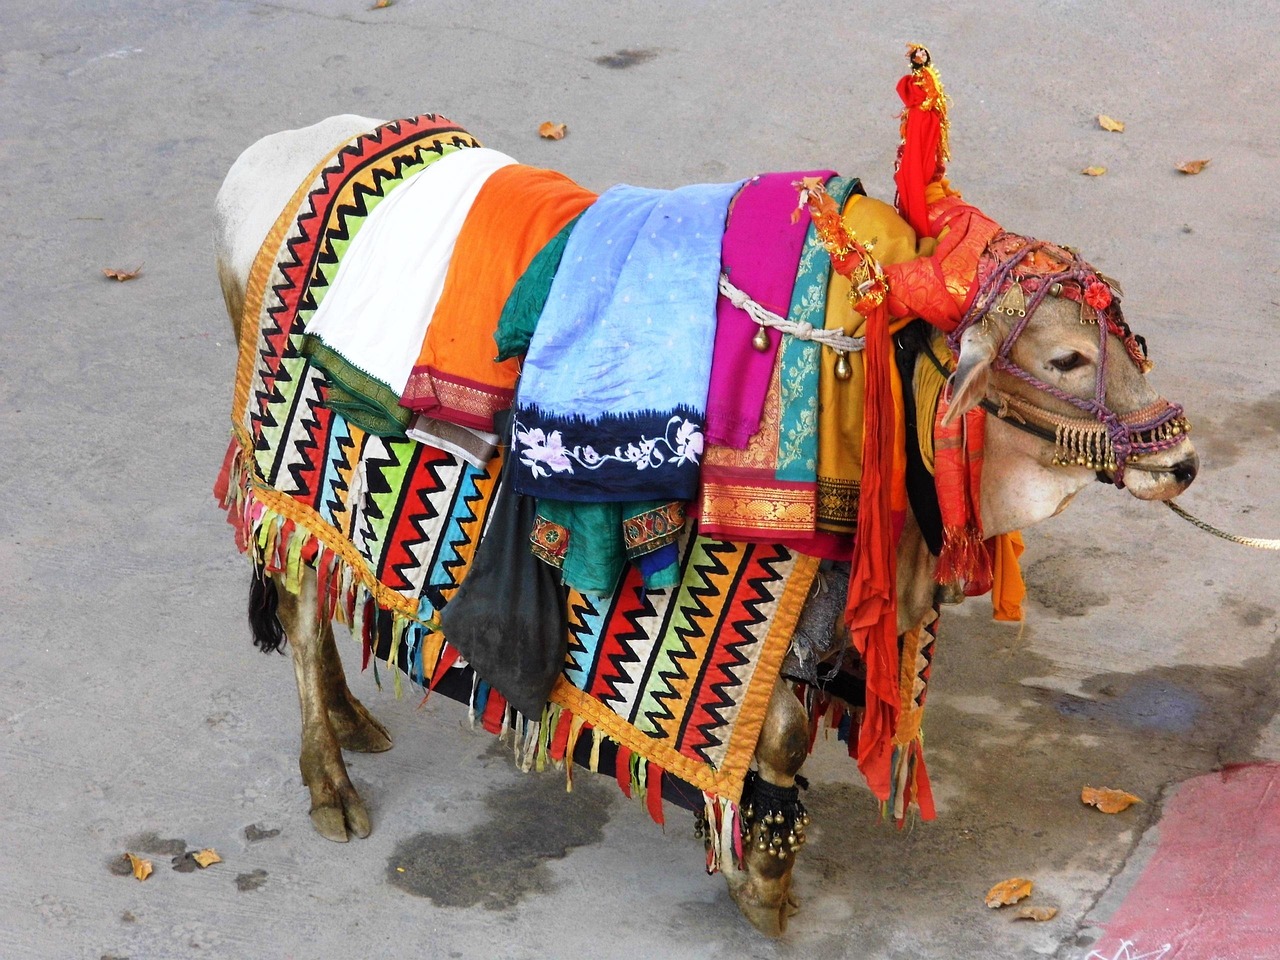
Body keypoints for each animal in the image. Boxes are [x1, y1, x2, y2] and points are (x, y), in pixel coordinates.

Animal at [213, 111, 1198, 937]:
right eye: (1066, 358)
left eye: (1130, 344)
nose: (1181, 460)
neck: (880, 362)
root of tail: (267, 162)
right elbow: (779, 732)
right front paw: (760, 875)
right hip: (288, 474)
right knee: (300, 609)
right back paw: (329, 781)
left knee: (312, 593)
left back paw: (349, 718)